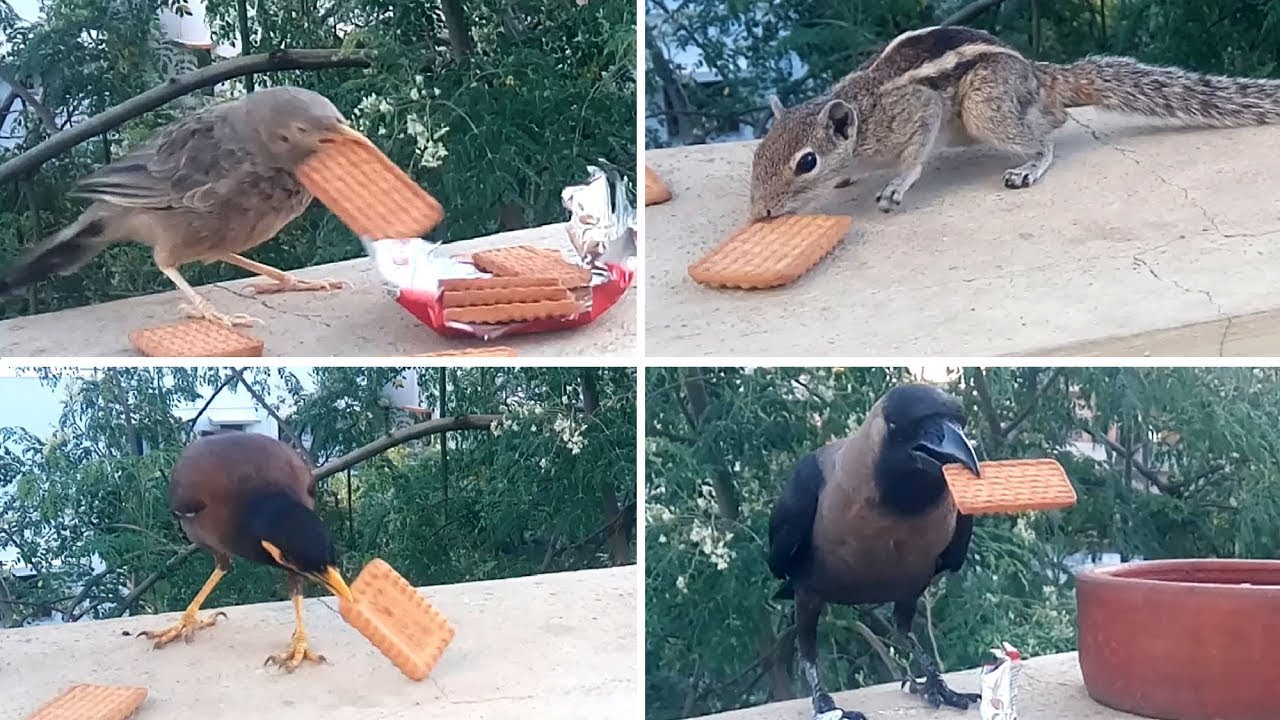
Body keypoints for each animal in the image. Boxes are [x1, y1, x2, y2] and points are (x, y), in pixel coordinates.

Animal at [750, 25, 1280, 219]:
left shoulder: (916, 111)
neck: (860, 112)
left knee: (1049, 129)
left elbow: (915, 152)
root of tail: (1038, 74)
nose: (760, 214)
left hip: (983, 108)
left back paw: (1030, 164)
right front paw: (851, 179)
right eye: (757, 154)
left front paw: (897, 184)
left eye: (807, 162)